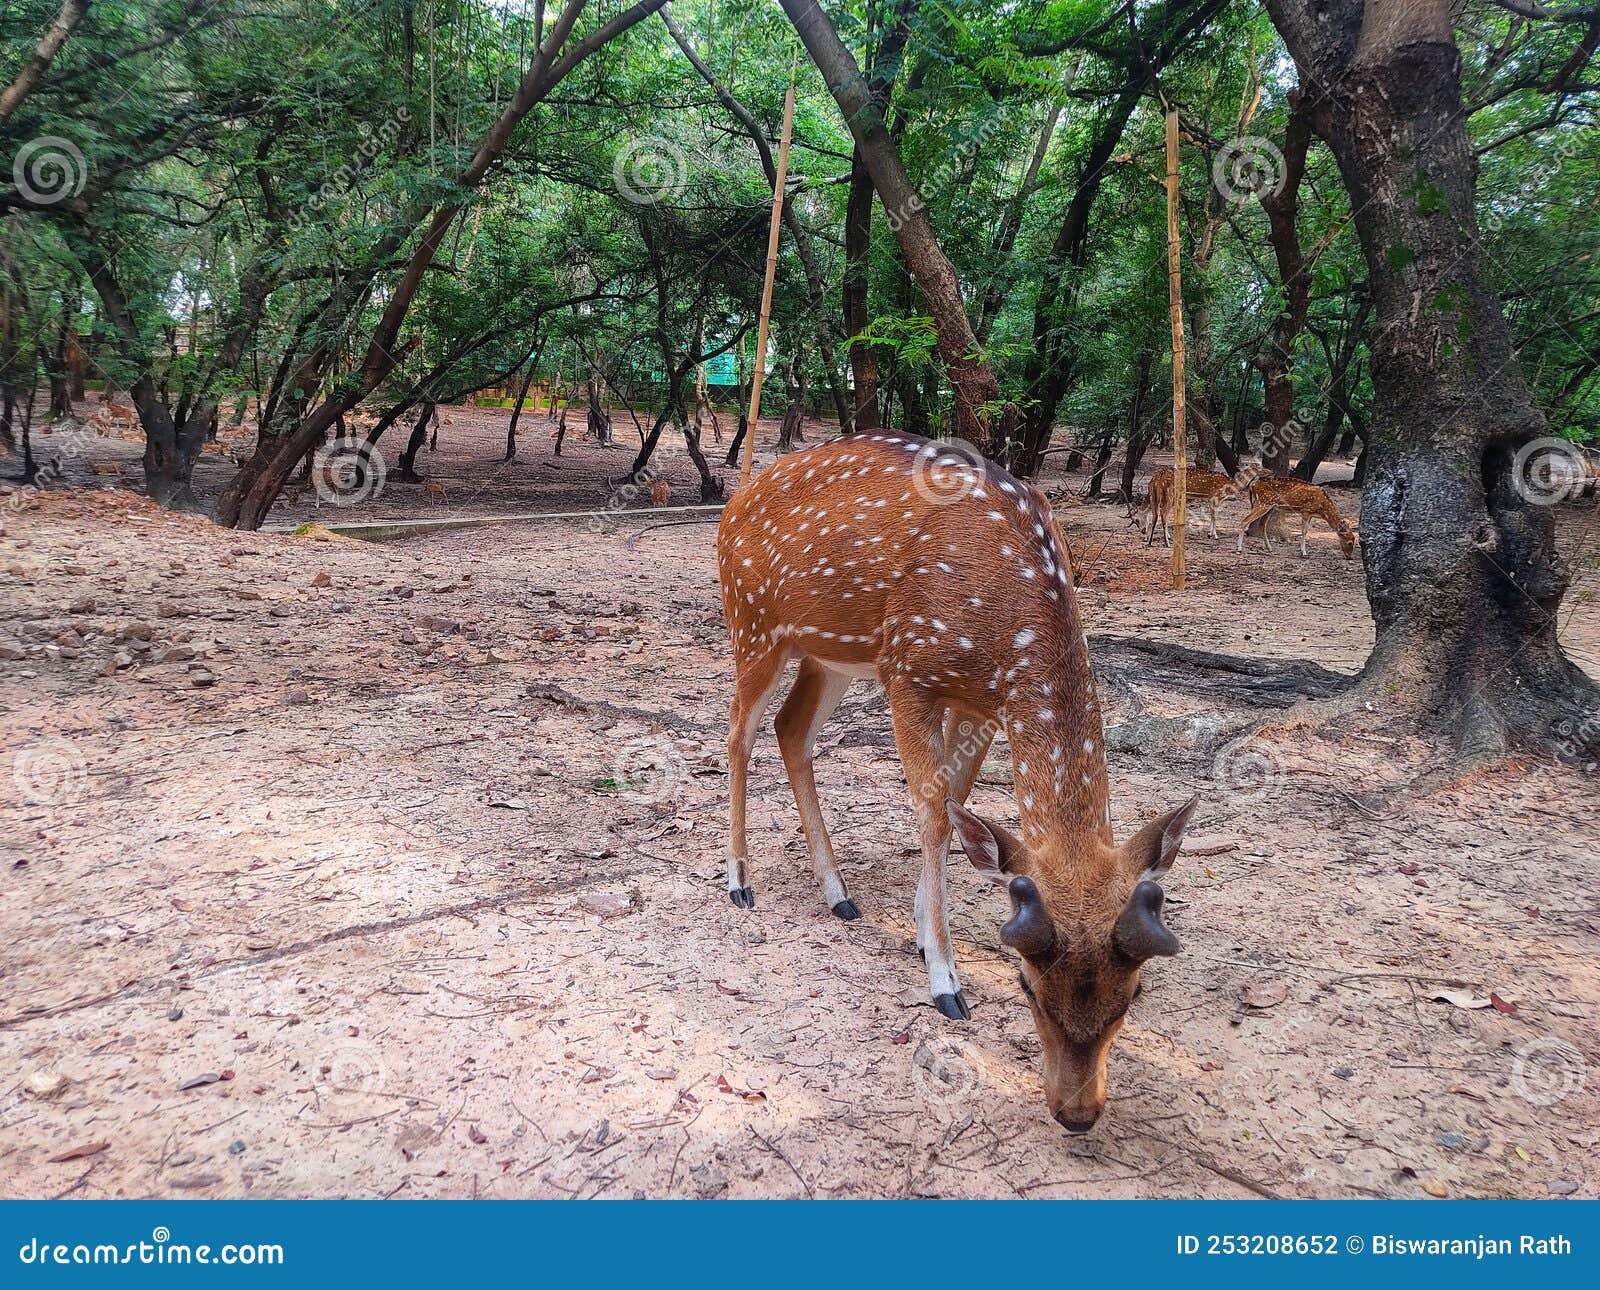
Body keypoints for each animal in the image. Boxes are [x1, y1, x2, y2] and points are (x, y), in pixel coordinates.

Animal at [717, 431, 1200, 1132]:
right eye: (1027, 983)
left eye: (1131, 995)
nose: (1076, 1112)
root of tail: (731, 505)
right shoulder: (909, 669)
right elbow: (933, 808)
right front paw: (945, 981)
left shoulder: (977, 703)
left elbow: (958, 804)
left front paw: (922, 933)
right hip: (754, 624)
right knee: (737, 731)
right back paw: (739, 880)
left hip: (830, 653)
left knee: (791, 729)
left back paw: (839, 894)